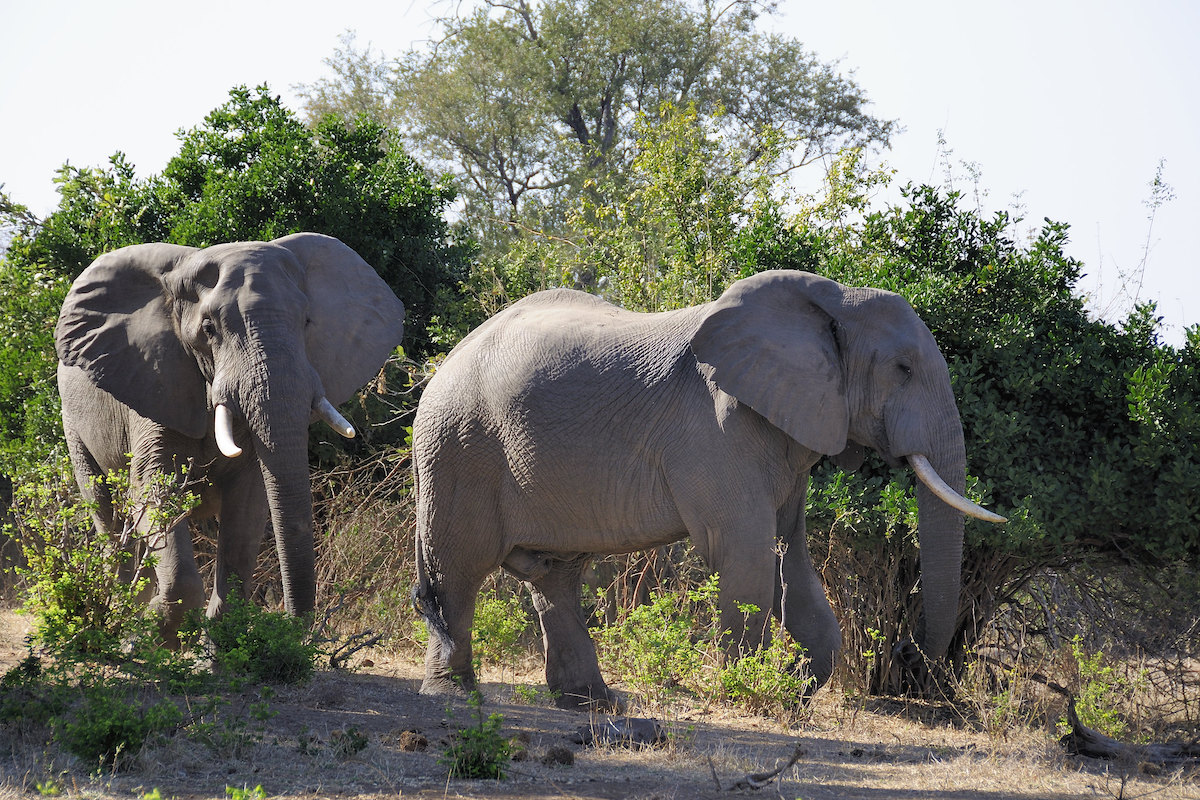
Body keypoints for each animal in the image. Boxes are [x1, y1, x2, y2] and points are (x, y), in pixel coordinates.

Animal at [55, 232, 405, 642]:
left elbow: (248, 505)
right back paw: (121, 619)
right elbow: (152, 486)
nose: (291, 626)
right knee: (106, 512)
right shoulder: (154, 380)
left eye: (306, 322)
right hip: (72, 421)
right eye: (209, 329)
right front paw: (147, 633)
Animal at [411, 269, 1005, 709]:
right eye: (902, 369)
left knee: (555, 576)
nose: (905, 651)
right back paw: (452, 695)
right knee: (459, 568)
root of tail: (445, 361)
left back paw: (592, 703)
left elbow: (791, 560)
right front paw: (745, 694)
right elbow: (746, 558)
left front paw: (790, 694)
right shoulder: (718, 431)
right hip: (458, 446)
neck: (831, 304)